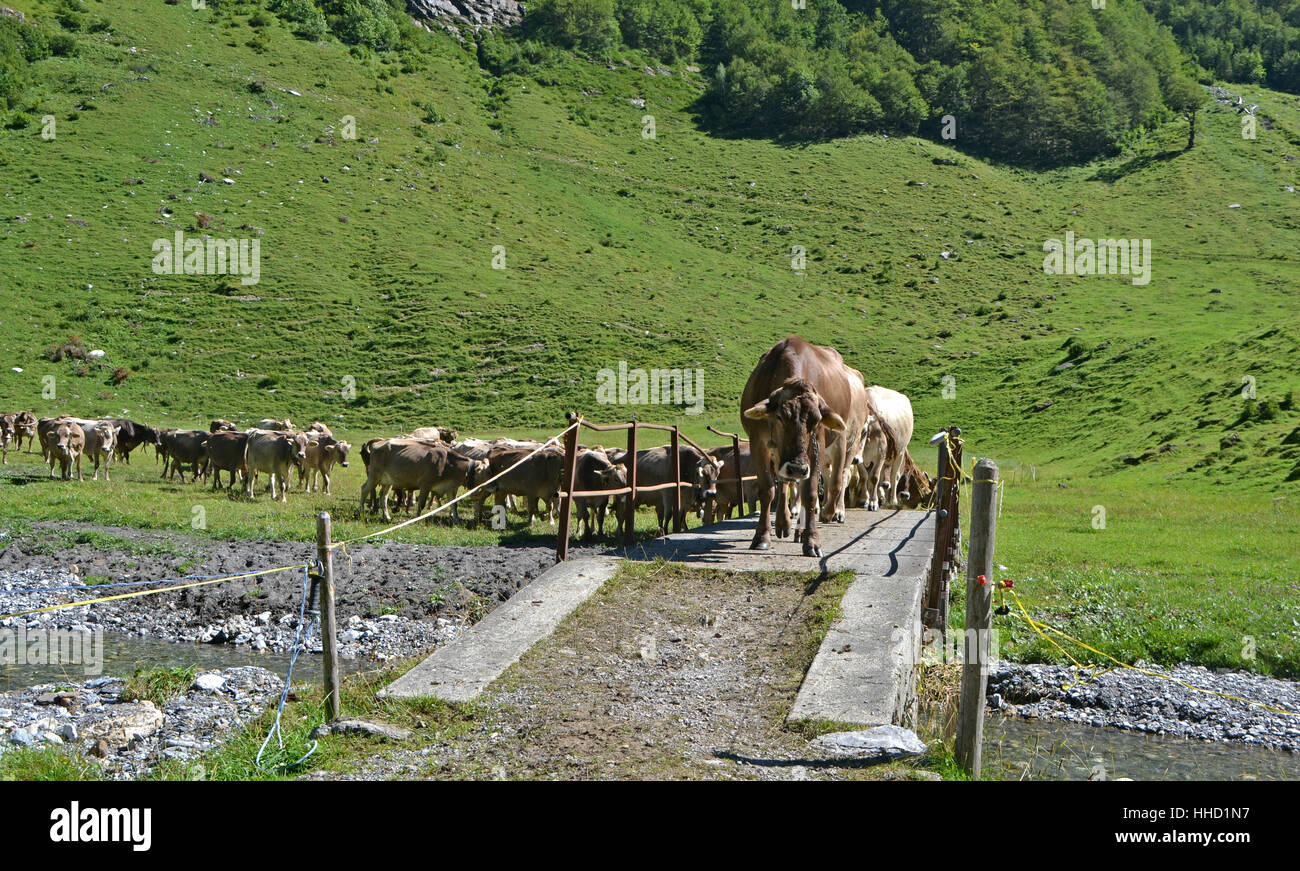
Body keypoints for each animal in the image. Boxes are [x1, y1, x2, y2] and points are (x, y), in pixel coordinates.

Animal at [739, 336, 860, 557]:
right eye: (779, 416)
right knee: (783, 483)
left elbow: (810, 493)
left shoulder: (815, 446)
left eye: (816, 420)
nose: (797, 467)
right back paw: (783, 523)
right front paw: (762, 536)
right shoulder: (758, 443)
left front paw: (811, 540)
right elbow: (768, 489)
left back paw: (800, 530)